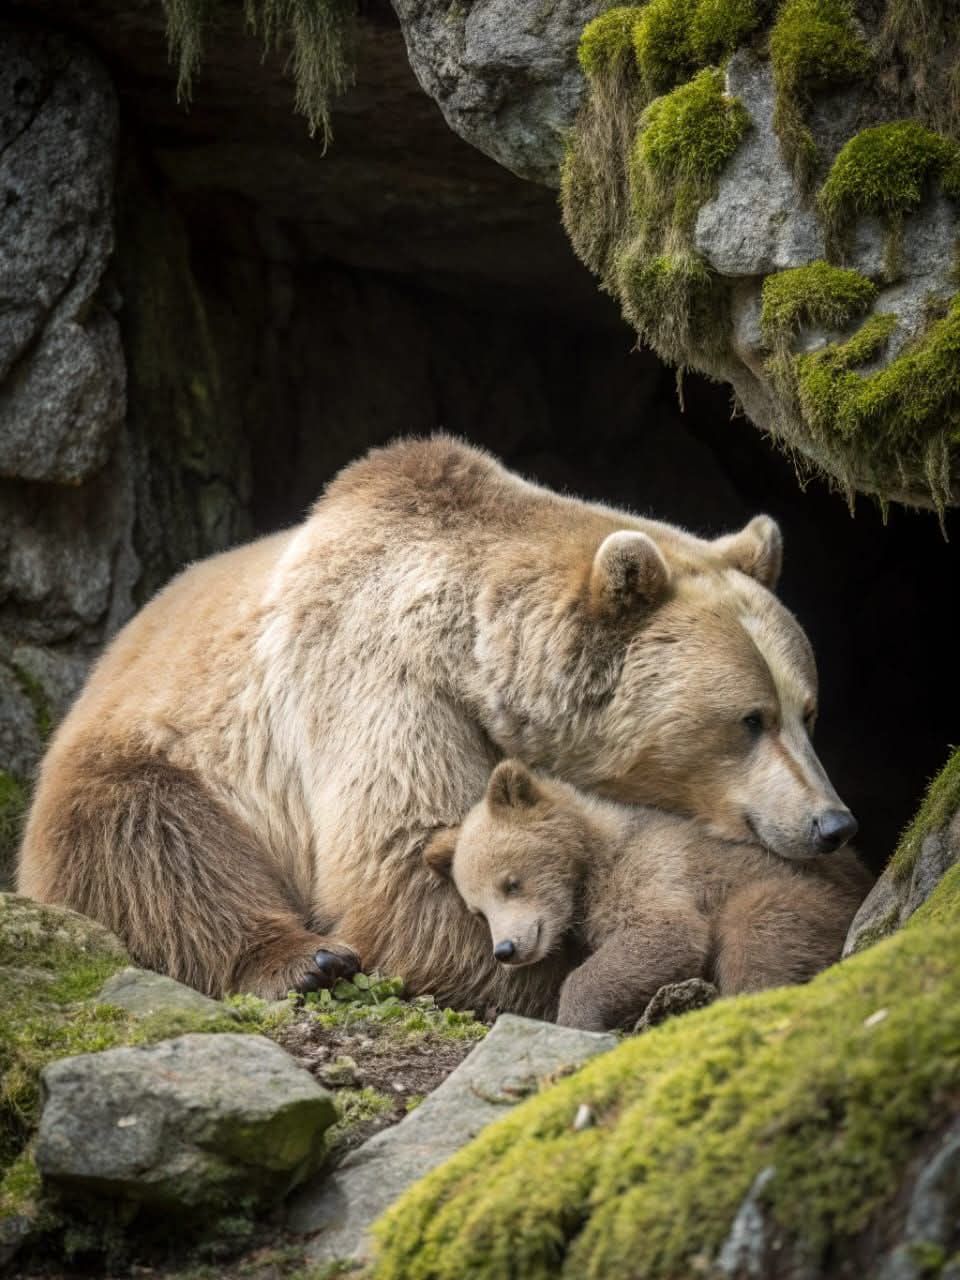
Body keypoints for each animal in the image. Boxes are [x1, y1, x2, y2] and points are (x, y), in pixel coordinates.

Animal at [17, 435, 858, 1007]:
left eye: (808, 708)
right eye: (748, 719)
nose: (832, 823)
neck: (475, 650)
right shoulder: (381, 682)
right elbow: (408, 861)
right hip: (166, 753)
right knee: (148, 848)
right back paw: (305, 958)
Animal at [425, 760, 872, 1031]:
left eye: (511, 882)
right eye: (478, 911)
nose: (506, 949)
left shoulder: (656, 868)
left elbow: (666, 934)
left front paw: (576, 1017)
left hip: (802, 896)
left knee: (759, 927)